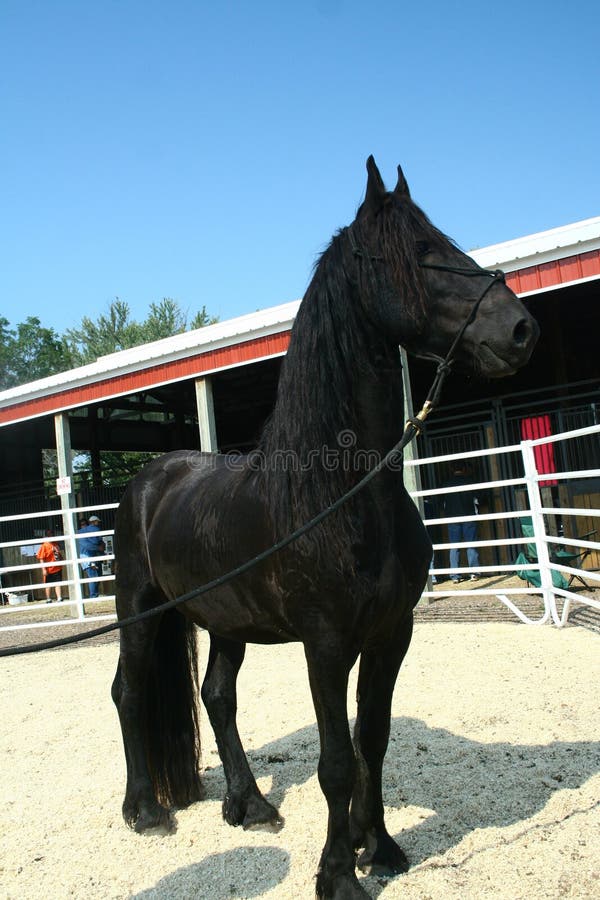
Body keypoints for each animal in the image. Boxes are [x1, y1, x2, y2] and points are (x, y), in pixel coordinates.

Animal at [111, 156, 539, 899]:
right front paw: (338, 873)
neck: (342, 495)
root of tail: (149, 479)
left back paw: (249, 805)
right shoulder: (327, 643)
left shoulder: (391, 634)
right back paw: (145, 811)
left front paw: (382, 847)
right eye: (420, 250)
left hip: (224, 622)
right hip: (141, 610)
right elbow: (336, 759)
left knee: (217, 696)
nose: (520, 328)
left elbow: (374, 740)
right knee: (130, 692)